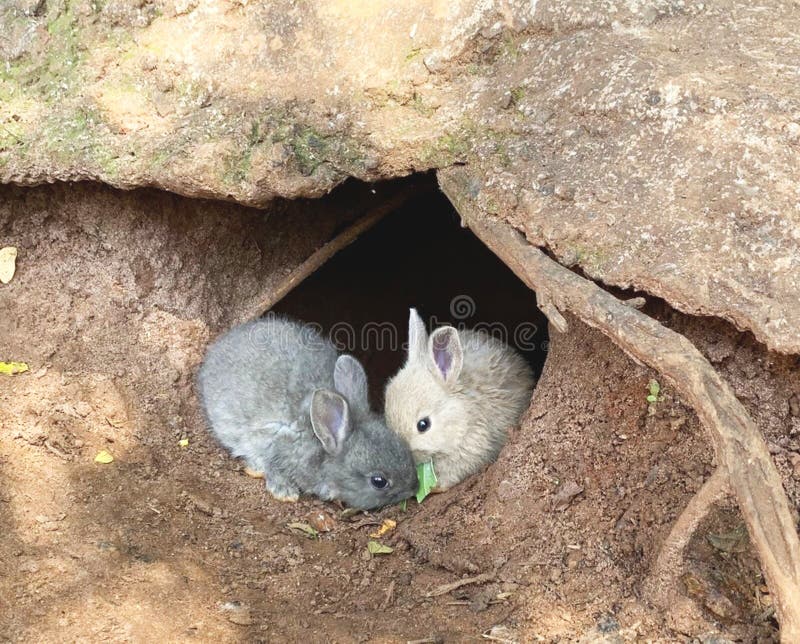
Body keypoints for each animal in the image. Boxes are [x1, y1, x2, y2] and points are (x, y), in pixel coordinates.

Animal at [197, 316, 418, 510]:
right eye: (378, 481)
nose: (414, 488)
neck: (322, 445)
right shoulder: (274, 441)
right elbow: (271, 466)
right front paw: (284, 492)